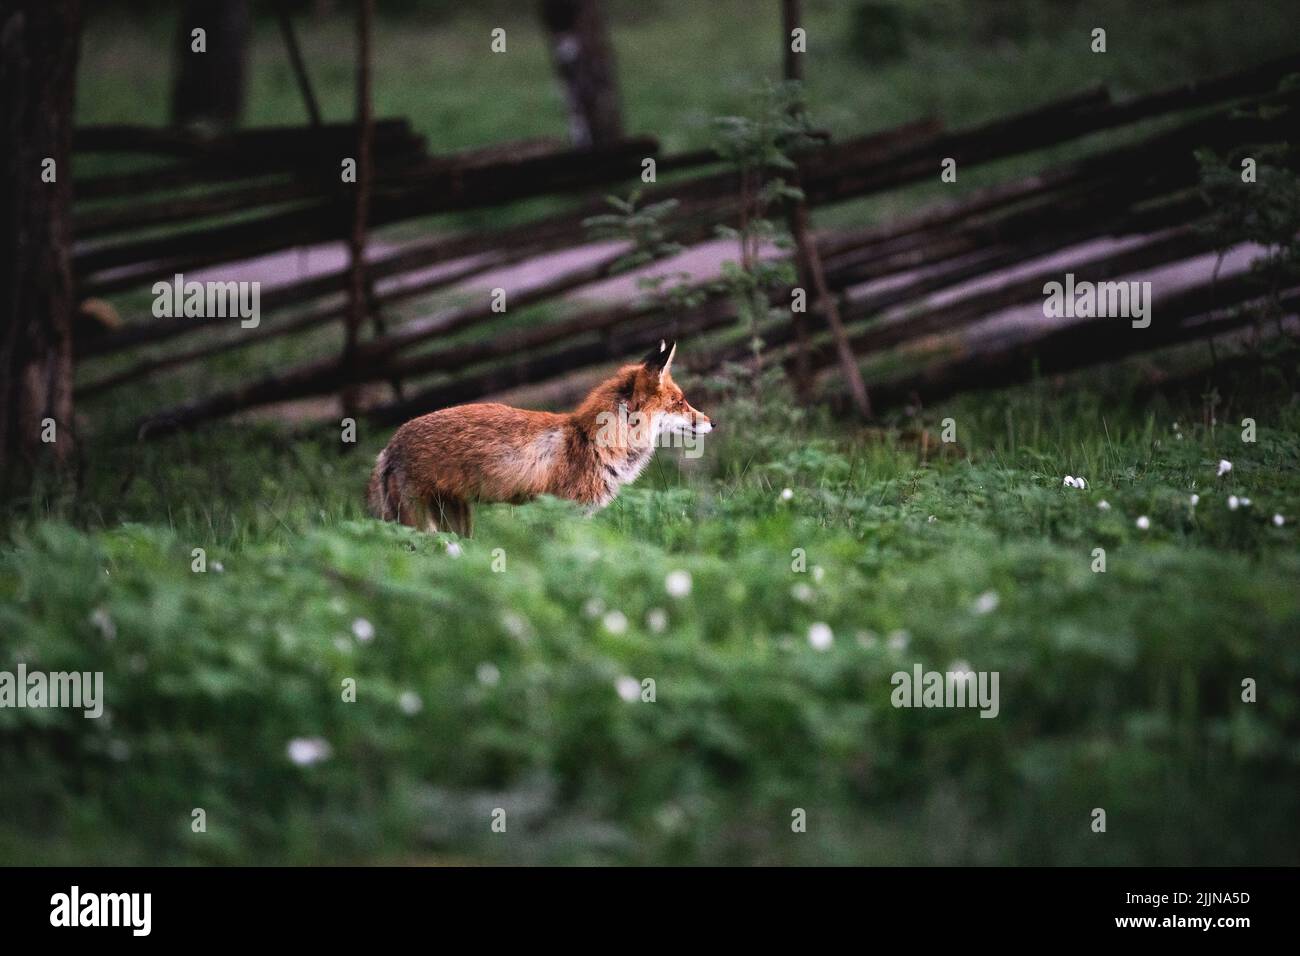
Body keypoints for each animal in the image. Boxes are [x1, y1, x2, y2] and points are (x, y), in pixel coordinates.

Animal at [367, 340, 713, 536]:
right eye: (680, 402)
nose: (712, 422)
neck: (592, 440)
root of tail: (390, 445)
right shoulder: (563, 513)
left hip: (457, 523)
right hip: (418, 524)